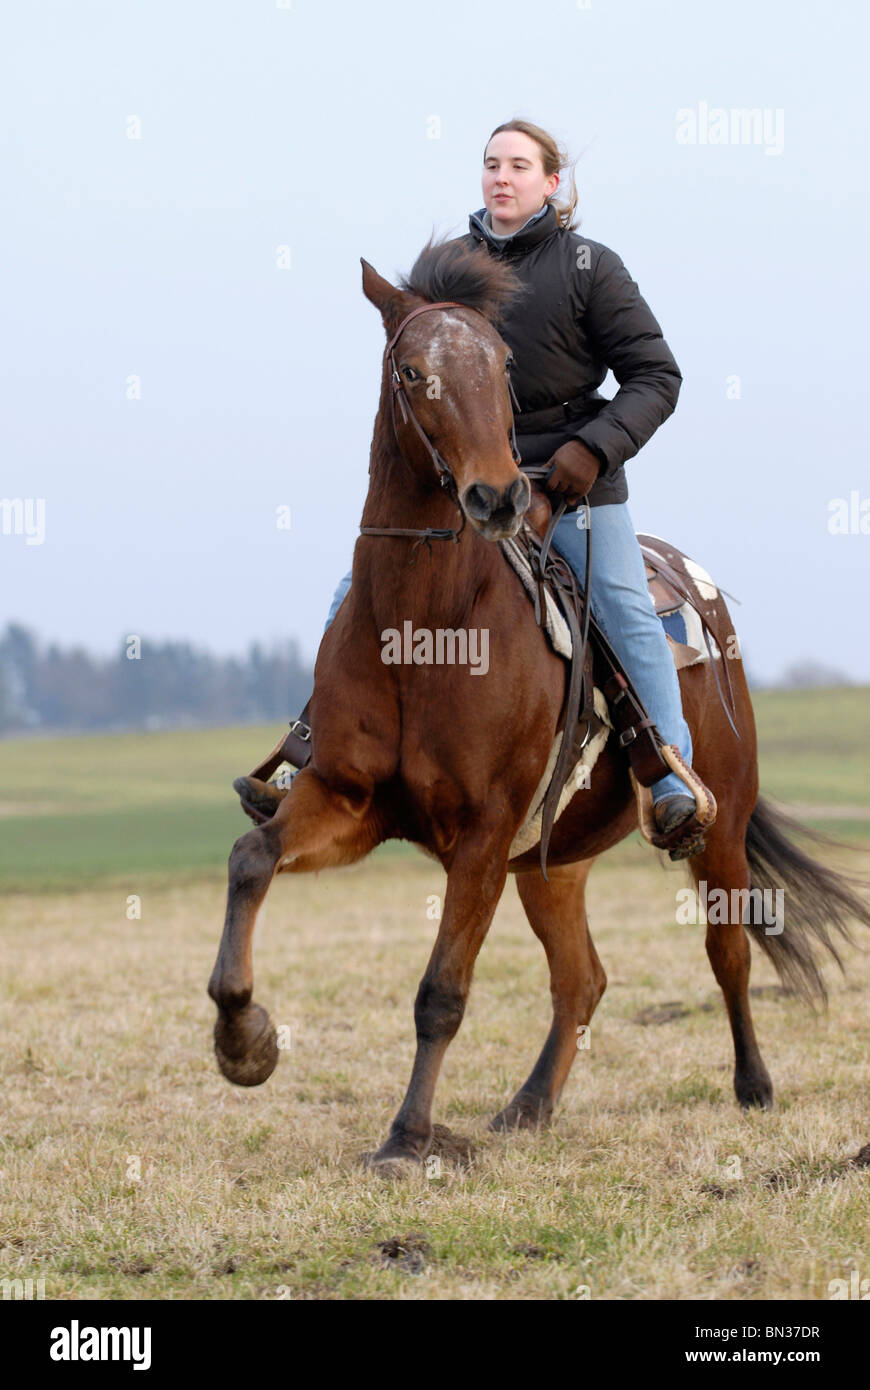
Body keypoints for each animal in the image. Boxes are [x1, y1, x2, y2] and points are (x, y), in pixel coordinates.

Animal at [207, 238, 869, 1174]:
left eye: (501, 364)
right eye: (411, 370)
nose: (499, 495)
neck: (429, 628)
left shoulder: (483, 834)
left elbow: (441, 991)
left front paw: (407, 1138)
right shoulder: (349, 803)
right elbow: (250, 858)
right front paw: (245, 1042)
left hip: (721, 831)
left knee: (728, 952)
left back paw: (753, 1085)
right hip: (551, 866)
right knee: (582, 978)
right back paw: (529, 1105)